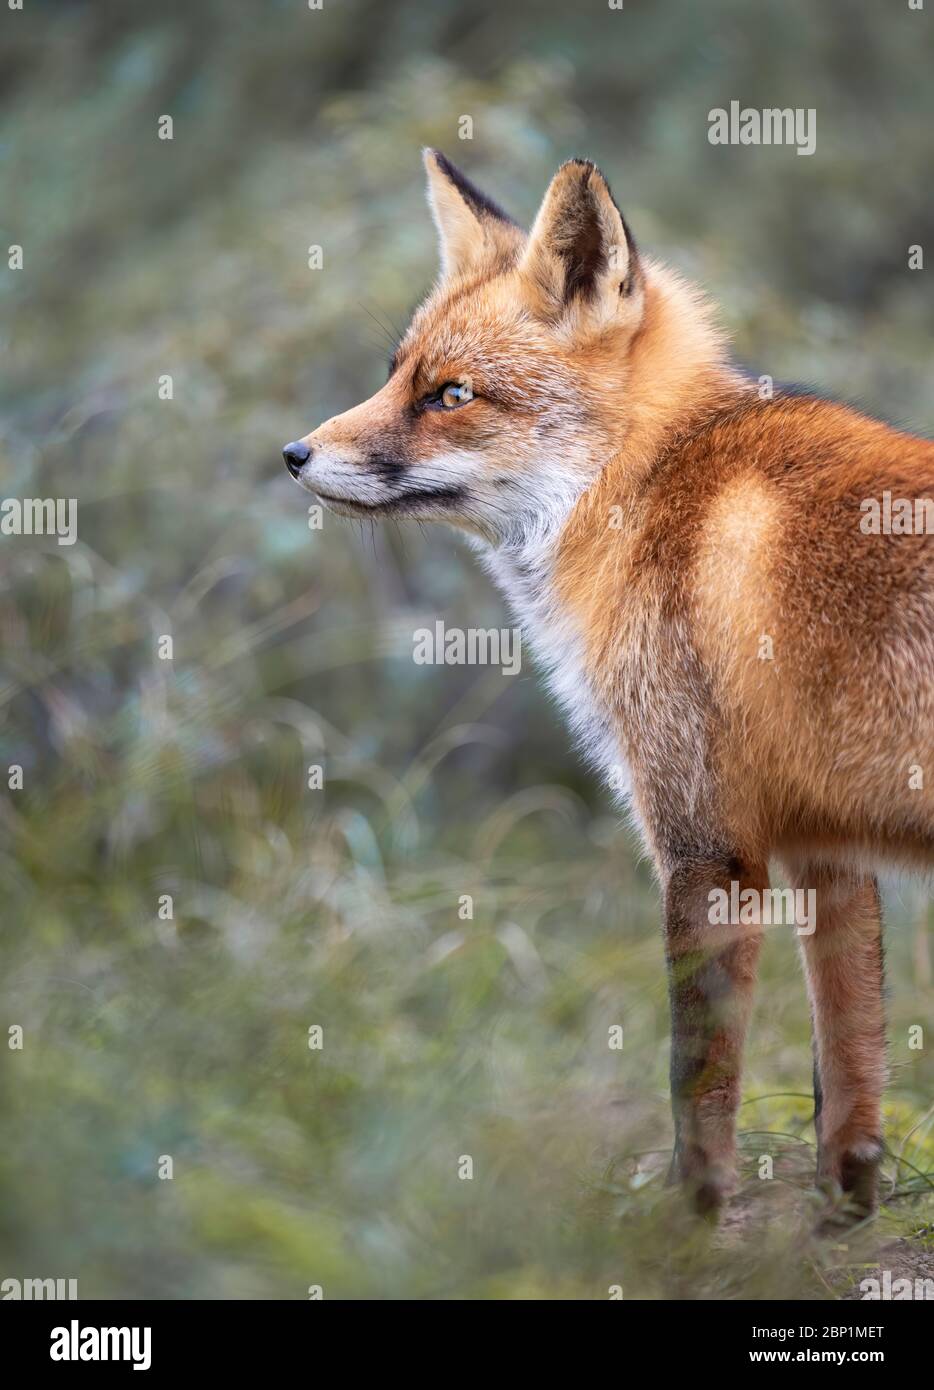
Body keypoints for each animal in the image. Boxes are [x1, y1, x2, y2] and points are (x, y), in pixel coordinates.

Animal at [282, 150, 934, 1219]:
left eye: (451, 395)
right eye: (397, 375)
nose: (293, 456)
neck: (651, 484)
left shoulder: (708, 847)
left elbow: (697, 1084)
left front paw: (687, 1223)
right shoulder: (826, 855)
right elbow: (851, 1077)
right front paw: (840, 1222)